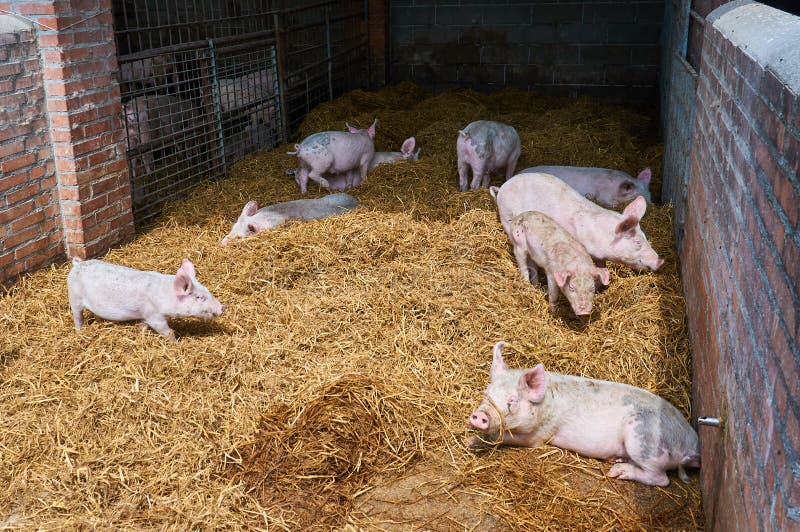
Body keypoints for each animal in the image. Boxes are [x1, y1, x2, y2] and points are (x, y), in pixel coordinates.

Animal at [67, 257, 225, 341]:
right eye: (199, 297)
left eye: (207, 290)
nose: (223, 307)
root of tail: (78, 264)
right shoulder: (154, 315)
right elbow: (166, 330)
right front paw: (176, 342)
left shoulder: (144, 315)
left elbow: (142, 326)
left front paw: (141, 335)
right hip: (74, 297)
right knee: (77, 316)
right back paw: (80, 331)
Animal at [468, 341, 700, 487]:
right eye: (487, 393)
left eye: (512, 401)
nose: (479, 415)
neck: (544, 405)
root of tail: (692, 443)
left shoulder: (538, 435)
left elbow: (508, 438)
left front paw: (473, 442)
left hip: (644, 441)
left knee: (661, 478)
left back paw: (617, 472)